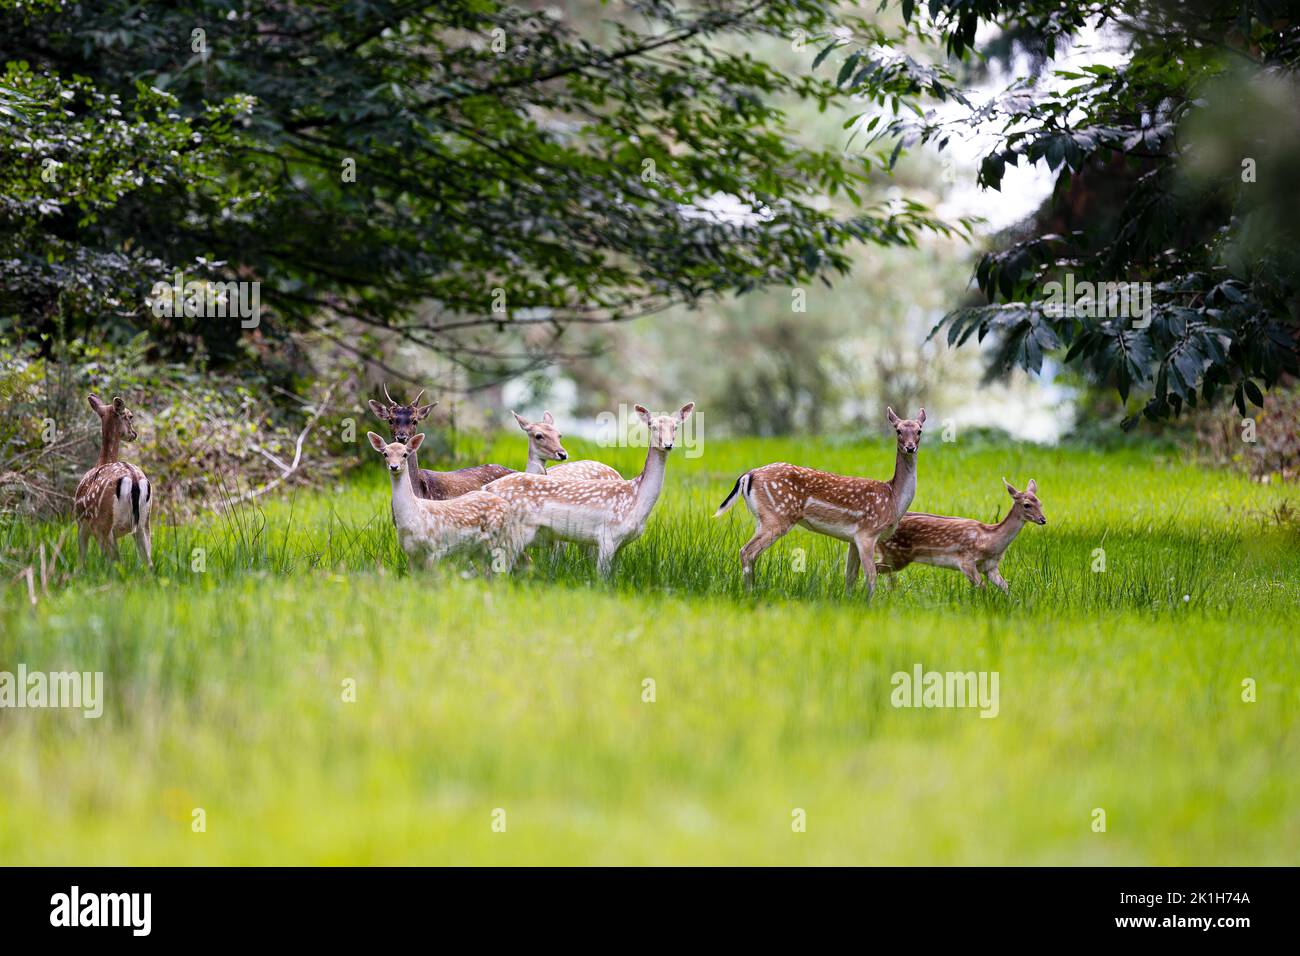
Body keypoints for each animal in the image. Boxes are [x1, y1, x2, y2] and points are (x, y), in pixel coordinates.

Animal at [74, 394, 152, 568]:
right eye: (130, 416)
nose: (134, 434)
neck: (101, 462)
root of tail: (134, 479)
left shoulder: (80, 520)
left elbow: (81, 557)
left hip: (102, 522)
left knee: (115, 561)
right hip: (144, 524)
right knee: (148, 562)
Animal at [367, 431, 528, 572]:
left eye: (405, 454)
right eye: (385, 454)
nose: (394, 467)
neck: (413, 514)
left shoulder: (435, 548)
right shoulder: (411, 552)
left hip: (500, 537)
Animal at [485, 403, 695, 576]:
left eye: (676, 426)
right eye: (652, 425)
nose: (668, 444)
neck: (636, 498)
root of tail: (488, 488)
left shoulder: (621, 543)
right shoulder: (608, 535)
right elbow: (602, 578)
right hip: (515, 530)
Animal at [715, 407, 926, 596]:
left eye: (919, 431)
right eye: (898, 430)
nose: (910, 447)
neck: (893, 499)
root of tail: (748, 475)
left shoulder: (853, 539)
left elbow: (850, 576)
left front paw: (850, 602)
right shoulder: (867, 533)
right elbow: (871, 576)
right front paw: (869, 605)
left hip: (763, 518)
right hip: (777, 517)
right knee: (747, 551)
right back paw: (749, 594)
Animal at [876, 478, 1047, 593]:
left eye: (1040, 503)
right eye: (1027, 505)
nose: (1043, 519)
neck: (990, 541)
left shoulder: (990, 566)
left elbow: (1005, 587)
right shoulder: (966, 562)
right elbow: (982, 588)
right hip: (895, 554)